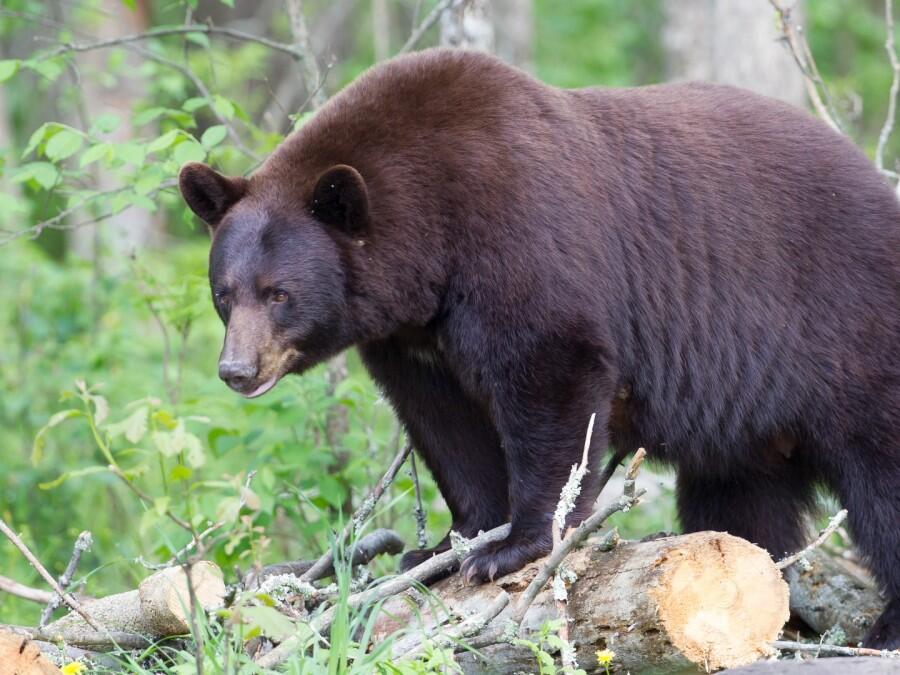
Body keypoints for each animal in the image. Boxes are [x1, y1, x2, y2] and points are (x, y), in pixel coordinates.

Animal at [178, 48, 900, 649]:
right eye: (224, 291)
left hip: (847, 330)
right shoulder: (411, 340)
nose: (236, 369)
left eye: (279, 294)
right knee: (743, 500)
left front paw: (517, 545)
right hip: (749, 422)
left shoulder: (521, 235)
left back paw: (883, 627)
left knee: (880, 474)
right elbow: (448, 425)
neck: (431, 243)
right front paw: (444, 546)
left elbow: (551, 378)